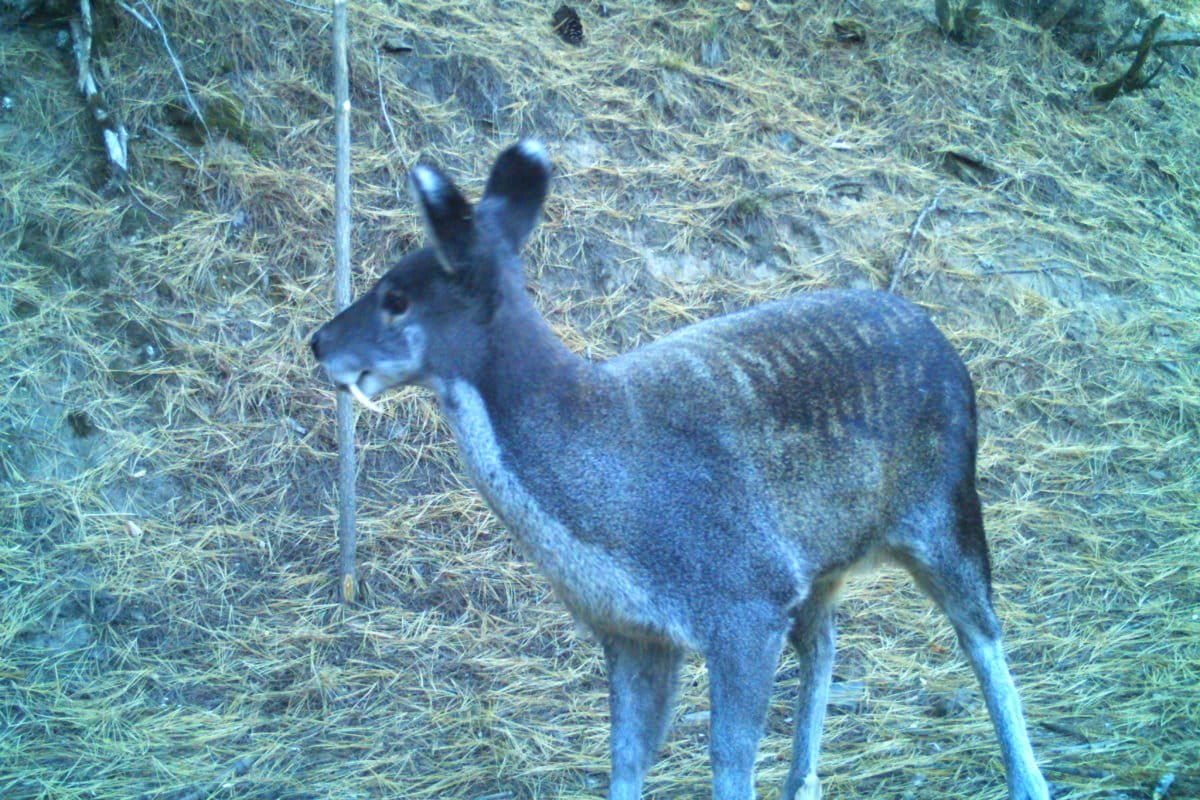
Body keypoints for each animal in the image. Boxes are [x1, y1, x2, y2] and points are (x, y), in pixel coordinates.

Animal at [309, 141, 1051, 800]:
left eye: (396, 298)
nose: (318, 341)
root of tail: (945, 343)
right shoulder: (634, 631)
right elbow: (626, 758)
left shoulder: (744, 598)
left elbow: (728, 760)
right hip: (825, 559)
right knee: (826, 642)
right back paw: (805, 783)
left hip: (945, 504)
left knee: (982, 631)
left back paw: (1027, 780)